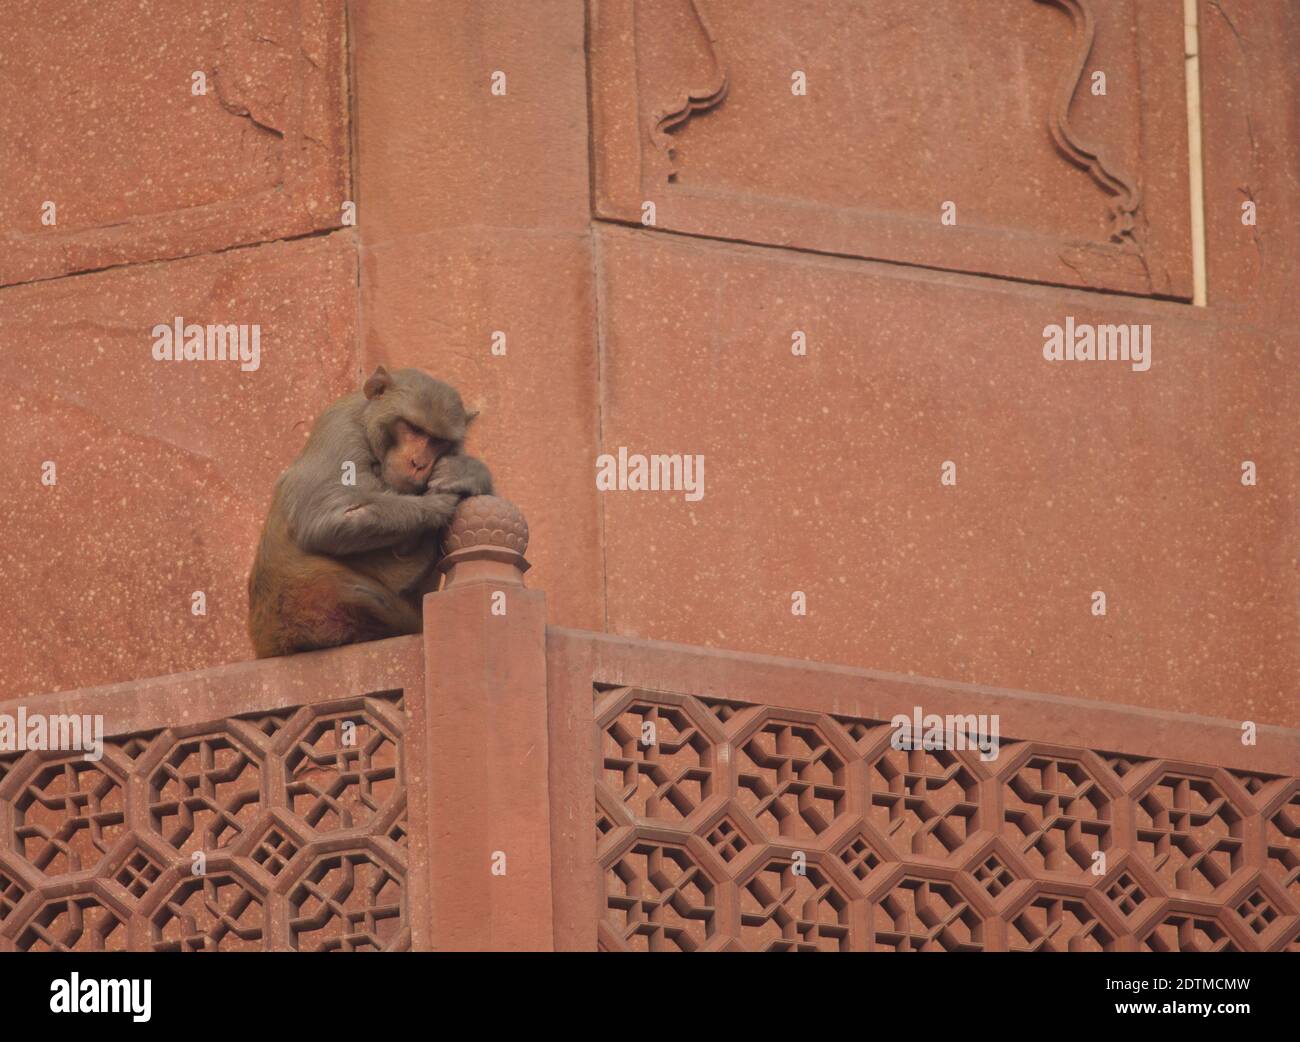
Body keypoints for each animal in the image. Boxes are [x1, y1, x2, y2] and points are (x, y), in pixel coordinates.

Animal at [247, 366, 493, 658]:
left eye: (437, 441)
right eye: (413, 428)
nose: (419, 463)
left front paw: (469, 472)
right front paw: (438, 504)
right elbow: (321, 520)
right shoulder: (342, 431)